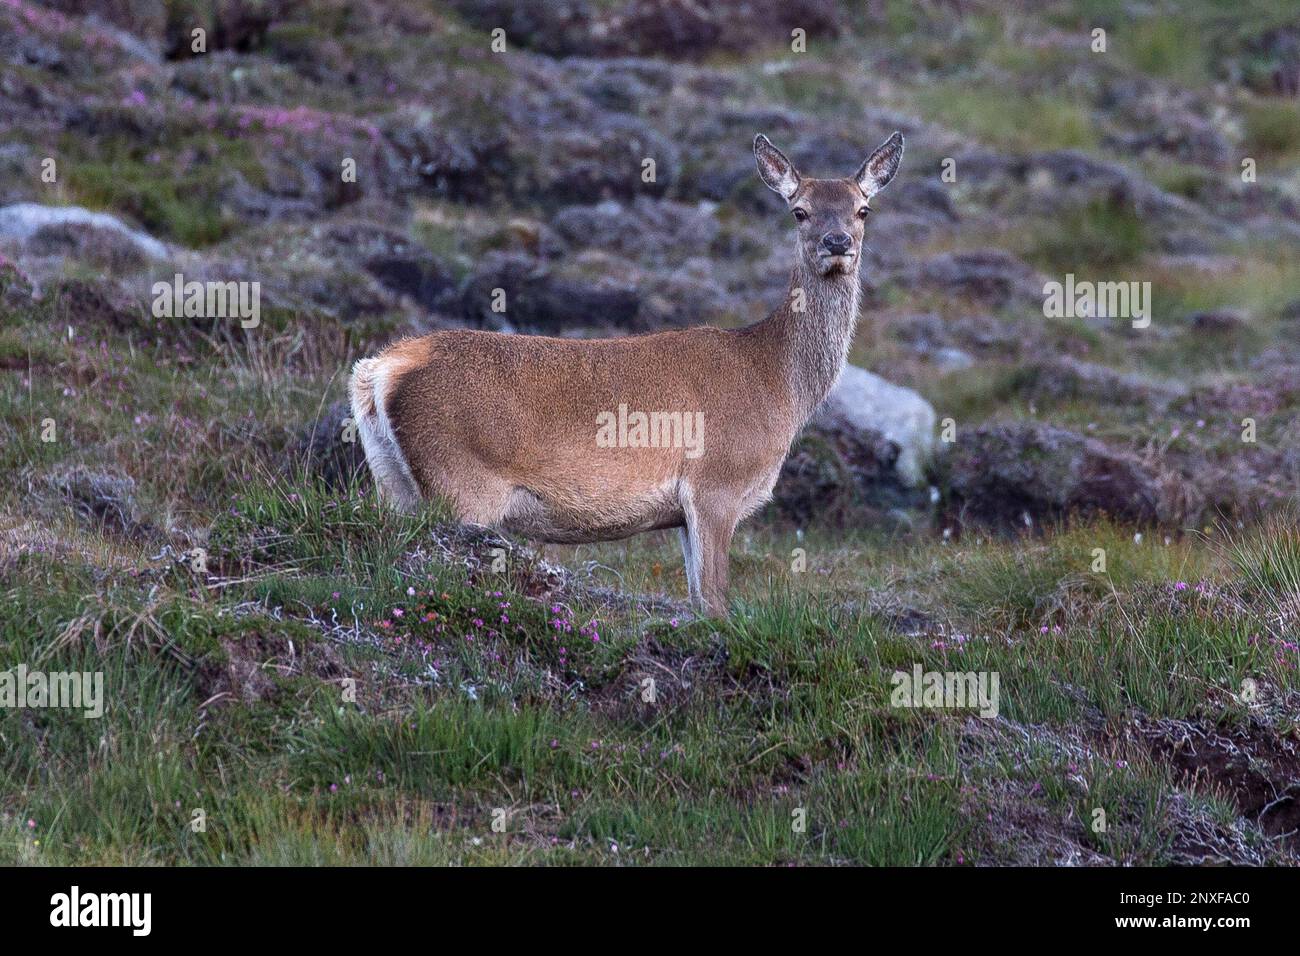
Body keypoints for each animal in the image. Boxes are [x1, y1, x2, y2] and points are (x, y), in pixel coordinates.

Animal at [349, 132, 904, 616]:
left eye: (863, 209)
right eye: (799, 210)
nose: (837, 242)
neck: (777, 383)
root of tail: (380, 370)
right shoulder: (716, 483)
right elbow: (716, 603)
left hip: (392, 482)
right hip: (461, 482)